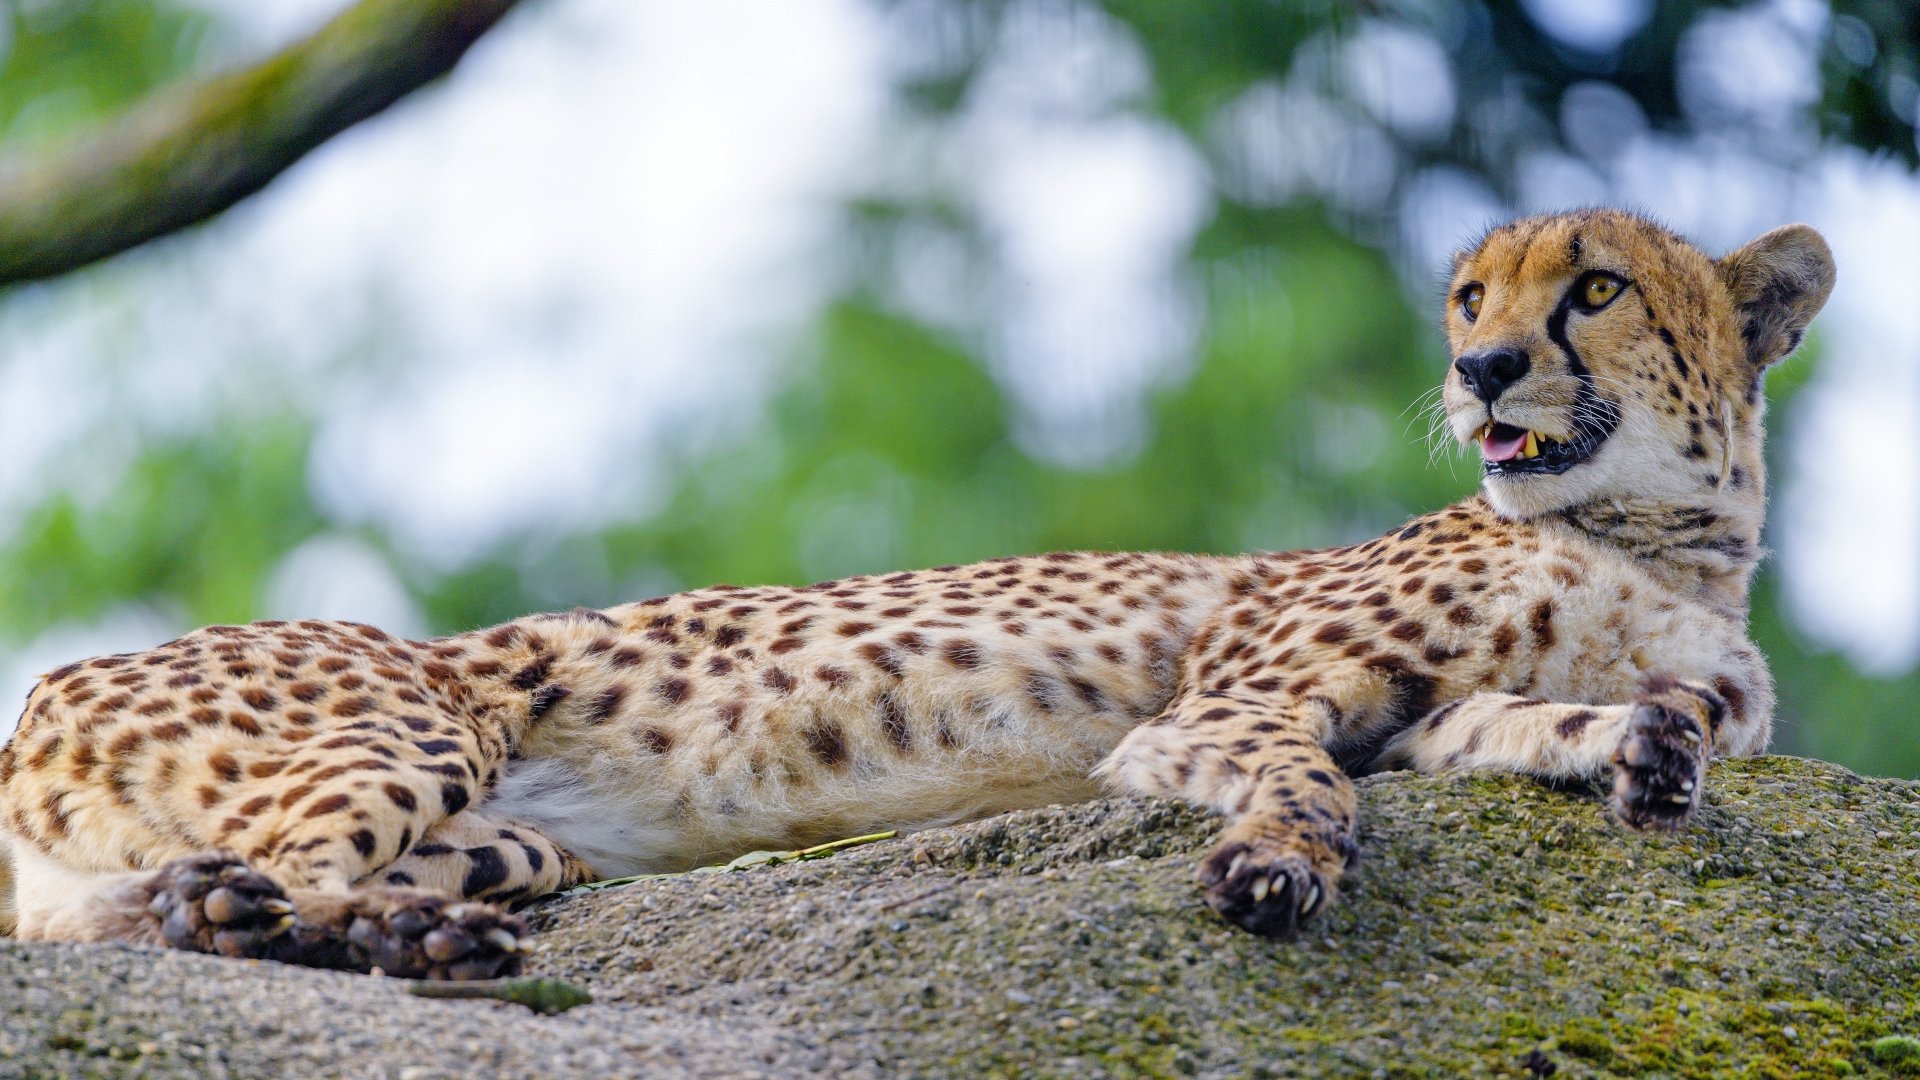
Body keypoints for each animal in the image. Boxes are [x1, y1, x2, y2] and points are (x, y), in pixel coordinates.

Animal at [0, 209, 1834, 977]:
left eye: (1592, 289)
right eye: (1470, 294)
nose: (1482, 368)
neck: (1658, 533)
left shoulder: (1437, 714)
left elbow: (1557, 723)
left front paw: (1632, 749)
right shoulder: (1231, 703)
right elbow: (1308, 778)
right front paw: (1275, 869)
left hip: (516, 836)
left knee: (144, 904)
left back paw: (312, 921)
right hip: (412, 728)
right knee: (271, 872)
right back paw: (347, 932)